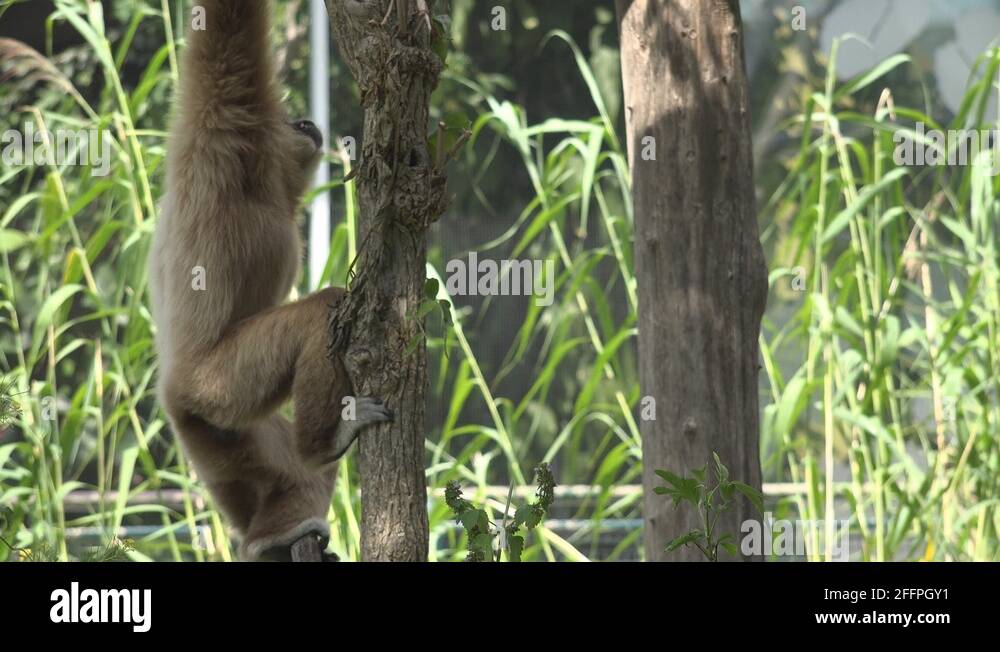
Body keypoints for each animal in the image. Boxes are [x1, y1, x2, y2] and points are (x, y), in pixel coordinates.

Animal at [149, 0, 391, 561]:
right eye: (293, 121)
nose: (307, 121)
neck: (261, 184)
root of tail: (171, 391)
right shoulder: (228, 119)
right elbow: (227, 31)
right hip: (218, 383)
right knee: (321, 313)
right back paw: (323, 444)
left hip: (217, 427)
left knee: (285, 476)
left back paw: (267, 537)